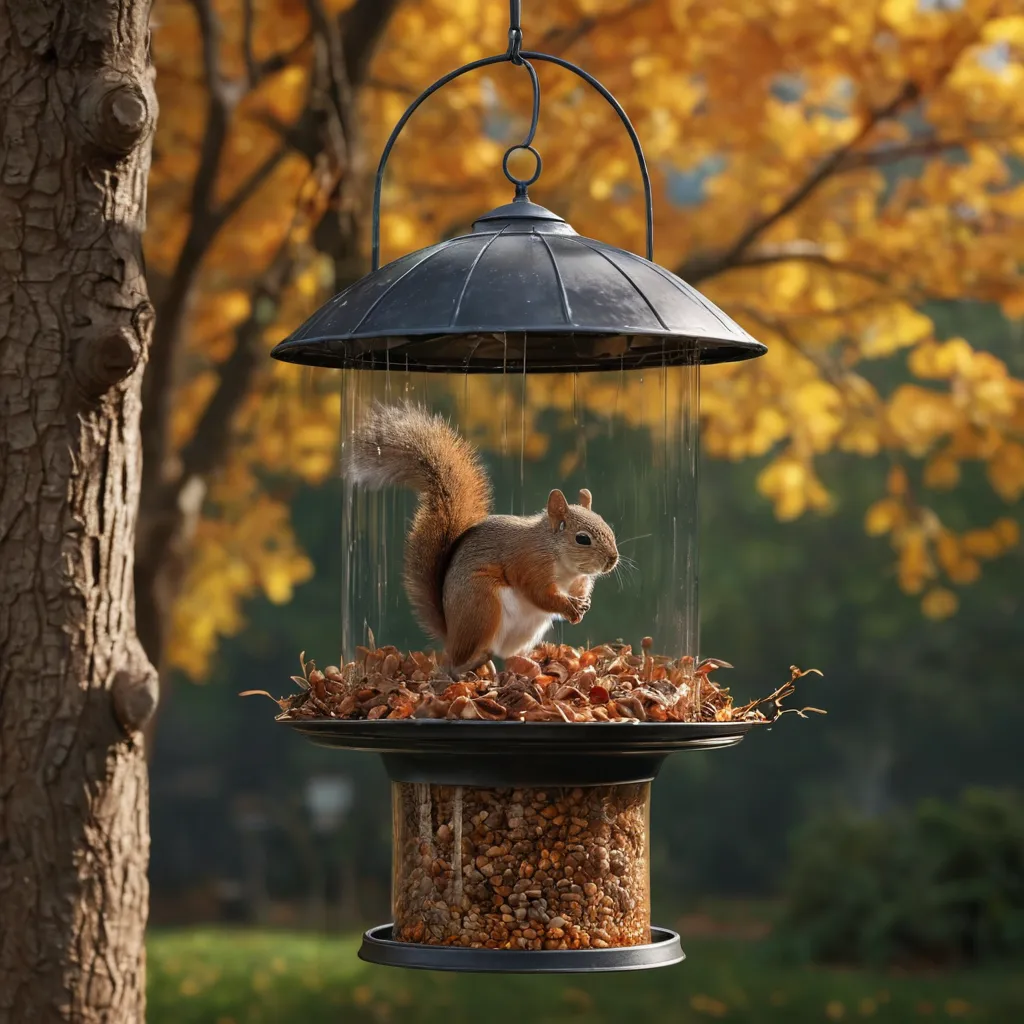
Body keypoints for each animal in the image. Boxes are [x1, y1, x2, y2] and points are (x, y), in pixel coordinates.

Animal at [343, 403, 619, 674]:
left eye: (609, 528)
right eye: (582, 539)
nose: (612, 560)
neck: (562, 561)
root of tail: (452, 636)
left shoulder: (577, 579)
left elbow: (576, 590)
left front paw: (582, 603)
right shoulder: (529, 563)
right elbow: (540, 593)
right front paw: (569, 607)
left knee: (506, 655)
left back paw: (529, 663)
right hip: (482, 606)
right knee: (458, 663)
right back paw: (470, 664)